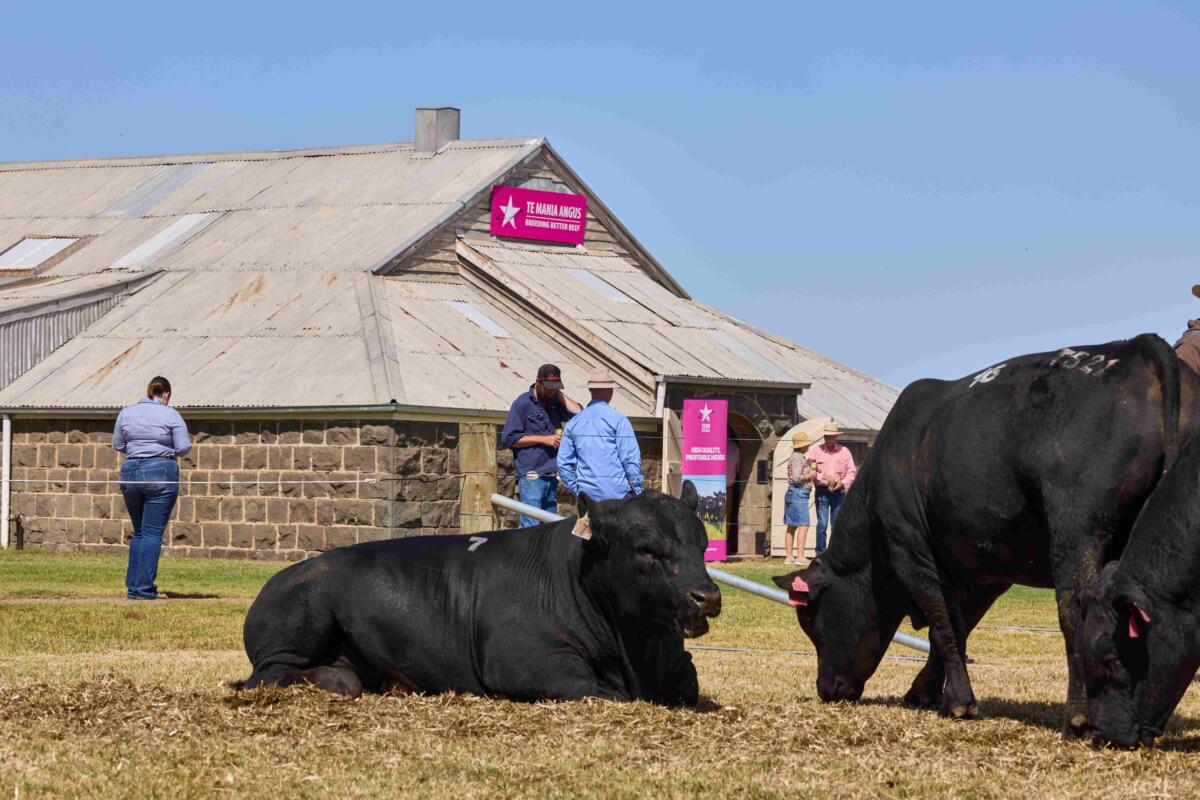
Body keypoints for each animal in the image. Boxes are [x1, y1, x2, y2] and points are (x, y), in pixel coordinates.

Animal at [238, 484, 721, 707]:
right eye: (647, 549)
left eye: (701, 544)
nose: (707, 596)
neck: (634, 651)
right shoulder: (530, 661)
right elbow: (598, 691)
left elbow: (689, 683)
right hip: (301, 618)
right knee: (270, 674)